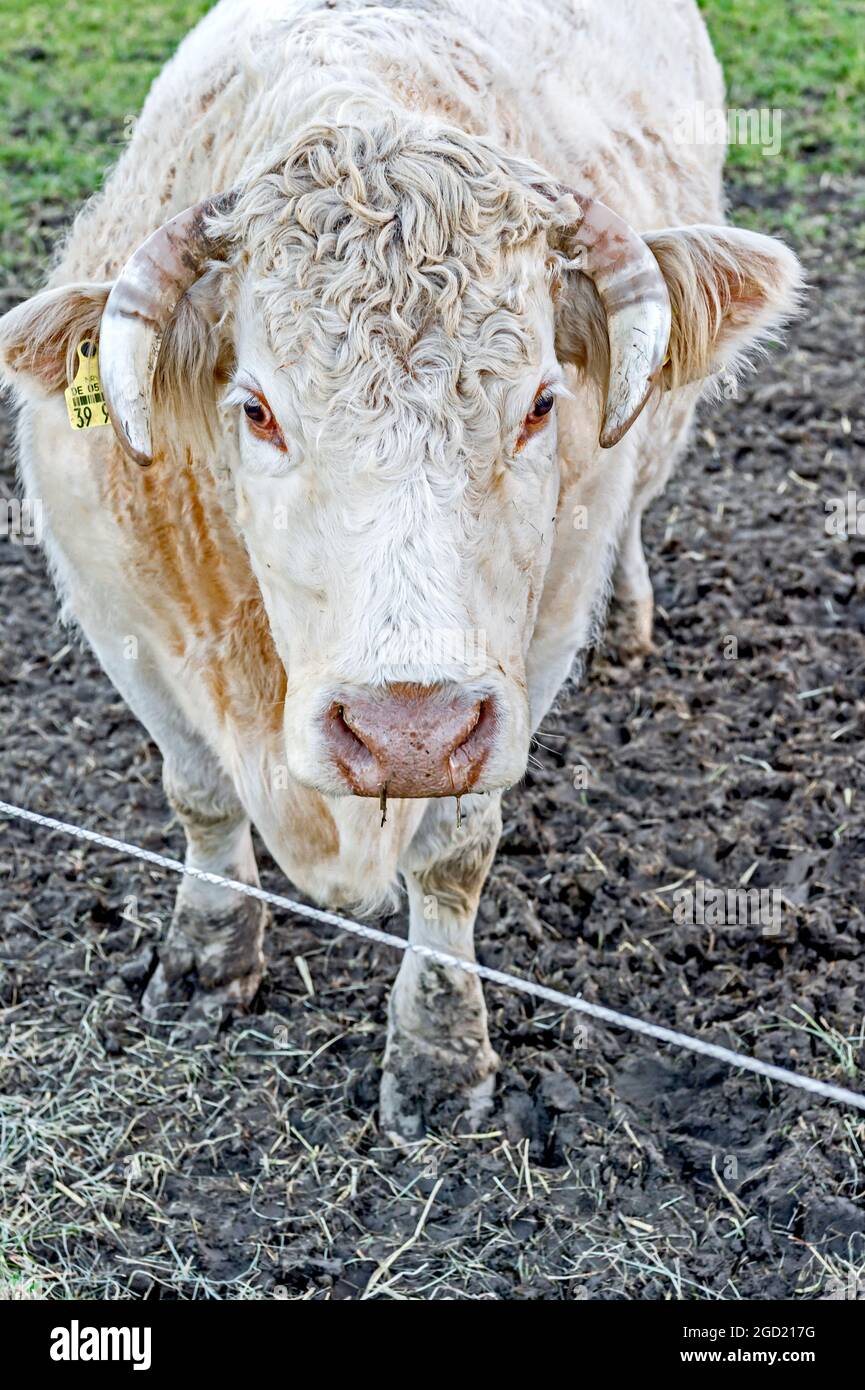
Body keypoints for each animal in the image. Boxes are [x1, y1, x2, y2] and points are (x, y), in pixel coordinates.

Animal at [0, 0, 801, 1139]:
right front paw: (204, 963)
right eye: (257, 408)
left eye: (541, 402)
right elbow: (199, 796)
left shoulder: (524, 653)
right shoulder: (122, 614)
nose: (405, 730)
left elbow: (453, 854)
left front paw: (437, 1055)